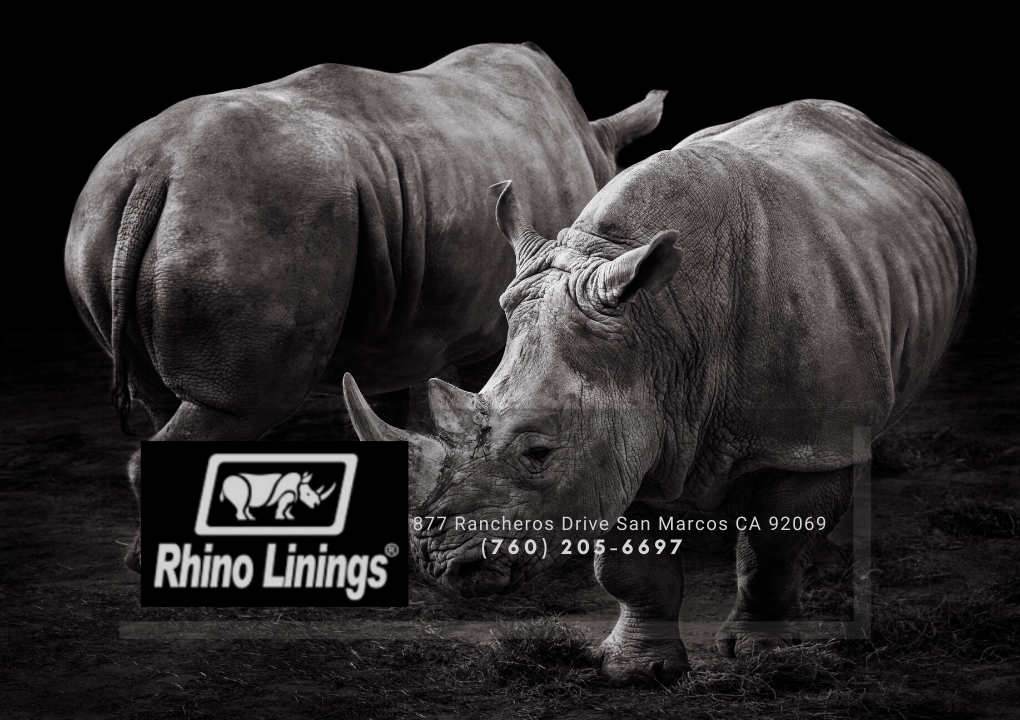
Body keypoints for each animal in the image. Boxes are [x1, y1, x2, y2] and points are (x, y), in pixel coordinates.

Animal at [62, 42, 666, 572]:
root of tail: (154, 173)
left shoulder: (398, 334)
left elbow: (389, 407)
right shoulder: (504, 329)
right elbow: (494, 410)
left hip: (105, 213)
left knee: (162, 398)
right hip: (251, 216)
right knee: (238, 405)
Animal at [342, 100, 976, 686]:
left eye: (538, 454)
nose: (441, 565)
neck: (660, 325)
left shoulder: (805, 437)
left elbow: (772, 547)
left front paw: (765, 655)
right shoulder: (626, 429)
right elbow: (630, 569)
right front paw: (637, 671)